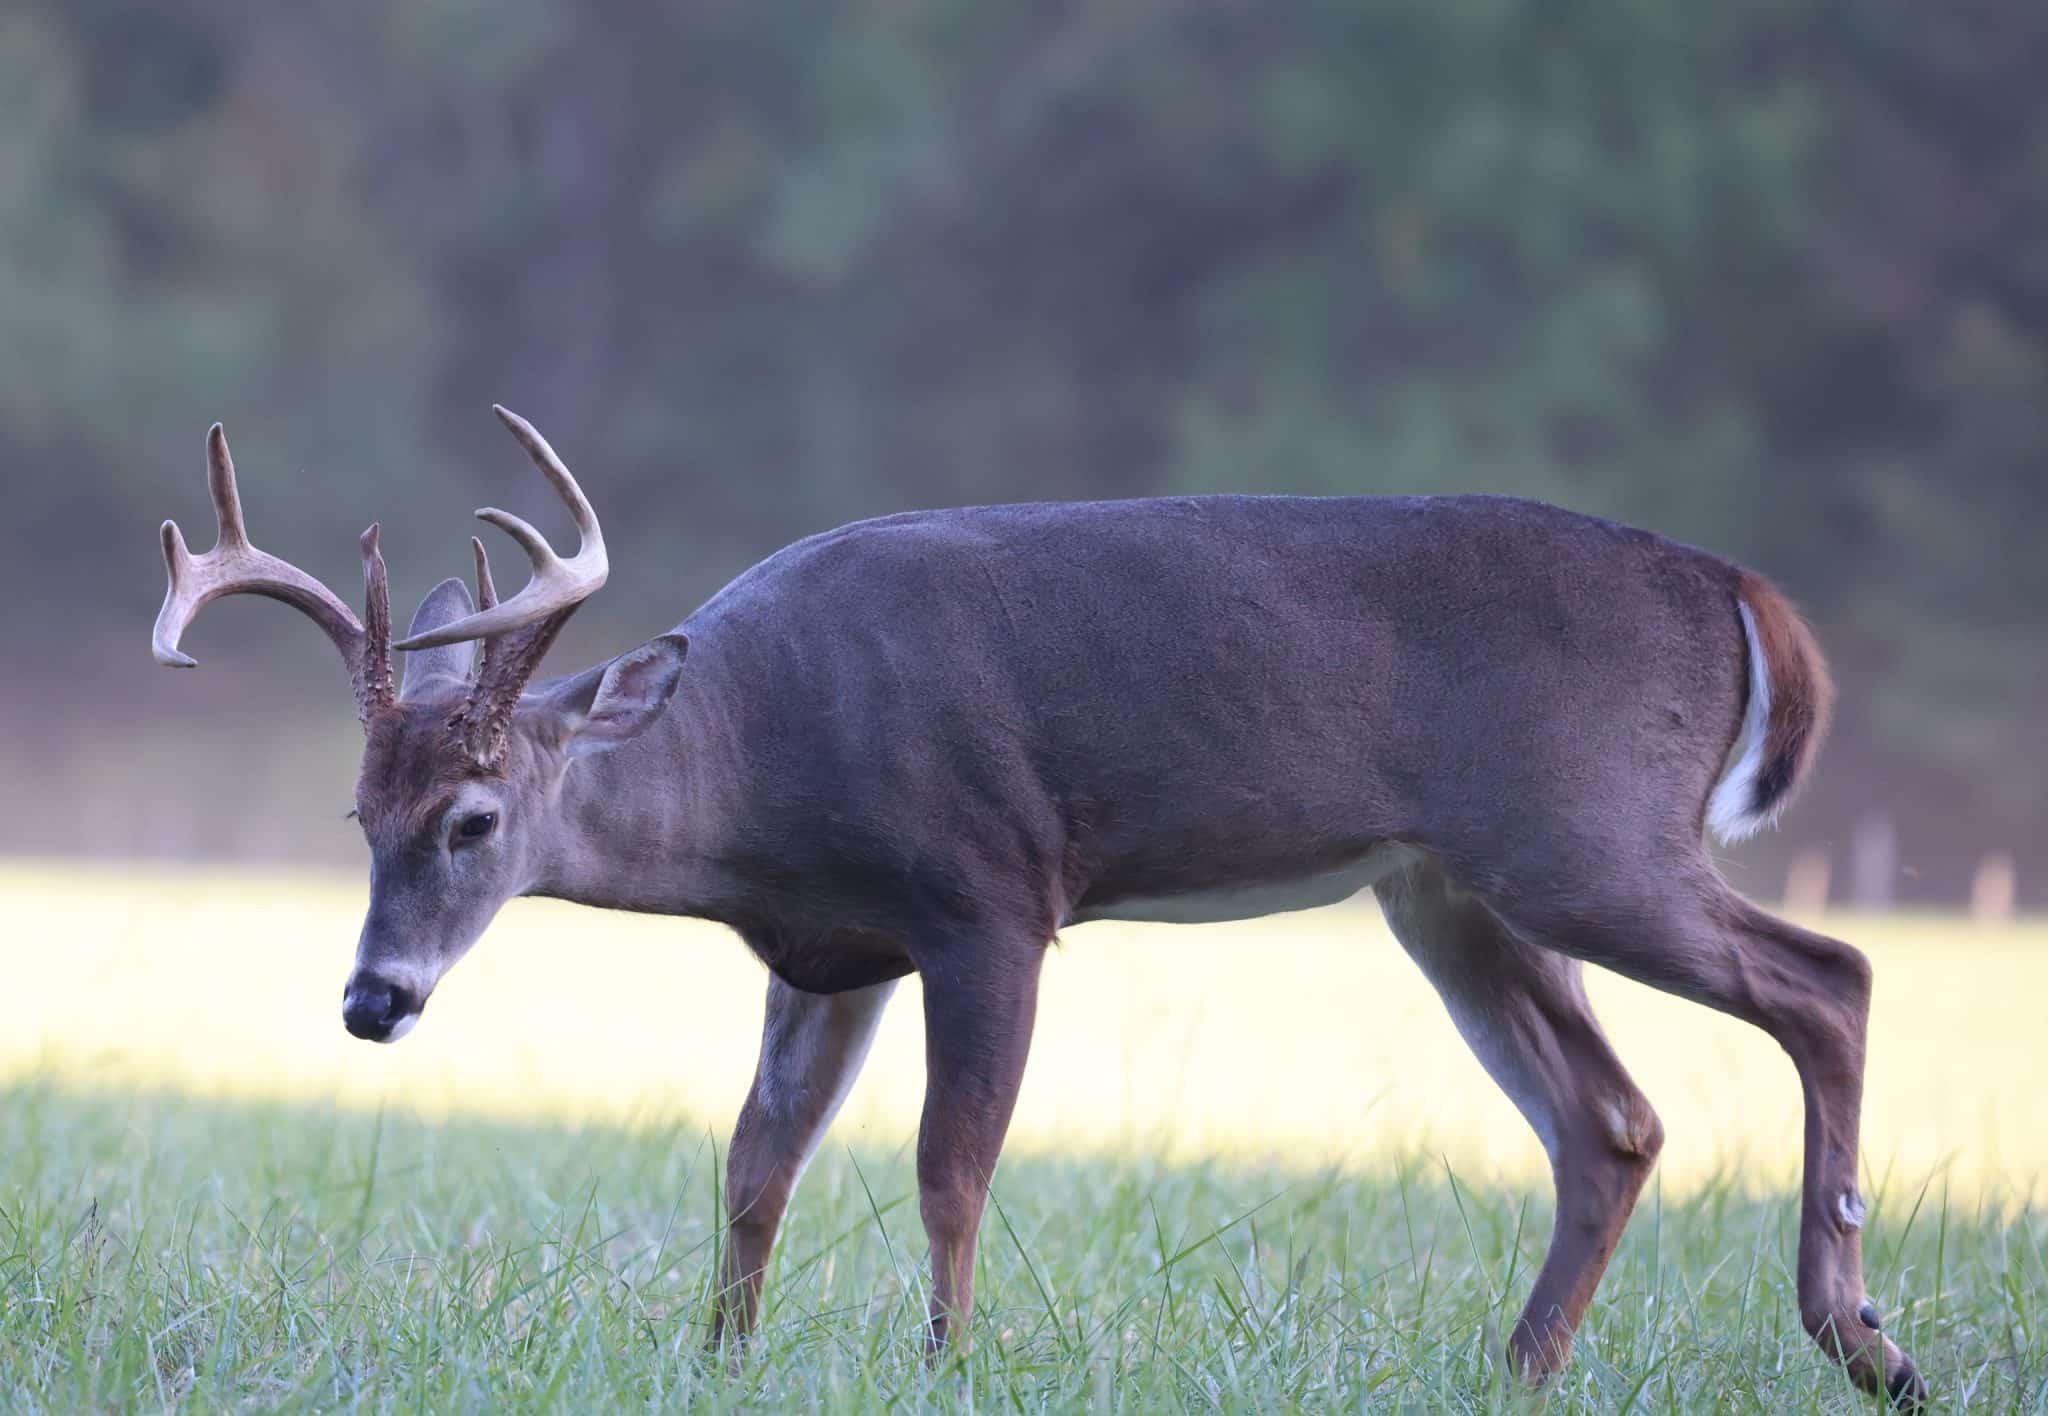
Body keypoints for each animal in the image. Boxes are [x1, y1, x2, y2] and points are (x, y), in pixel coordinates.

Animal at [152, 408, 1924, 1407]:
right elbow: (753, 1160)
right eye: (359, 817)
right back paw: (1526, 1373)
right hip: (1455, 888)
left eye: (472, 819)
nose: (372, 999)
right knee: (1612, 1120)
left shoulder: (987, 892)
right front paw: (718, 1361)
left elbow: (952, 1162)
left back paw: (1861, 1332)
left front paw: (947, 1364)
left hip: (1584, 833)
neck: (759, 768)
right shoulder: (829, 951)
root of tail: (1738, 589)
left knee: (1830, 975)